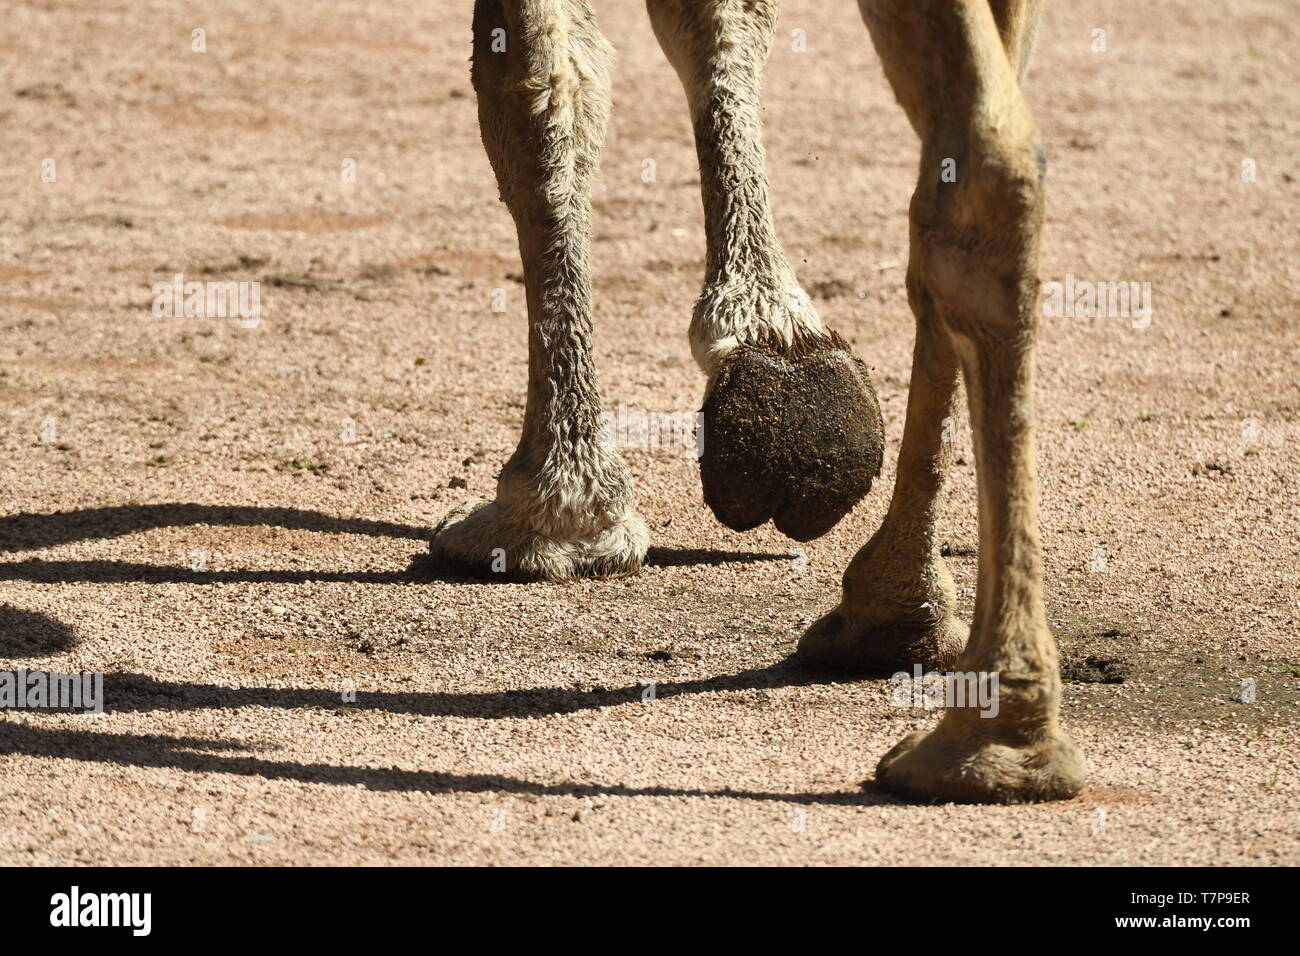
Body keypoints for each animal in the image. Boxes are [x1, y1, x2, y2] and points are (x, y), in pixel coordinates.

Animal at [431, 0, 1086, 804]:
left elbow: (537, 80)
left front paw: (559, 509)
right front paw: (782, 361)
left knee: (988, 159)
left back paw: (980, 733)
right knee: (975, 168)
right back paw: (922, 638)